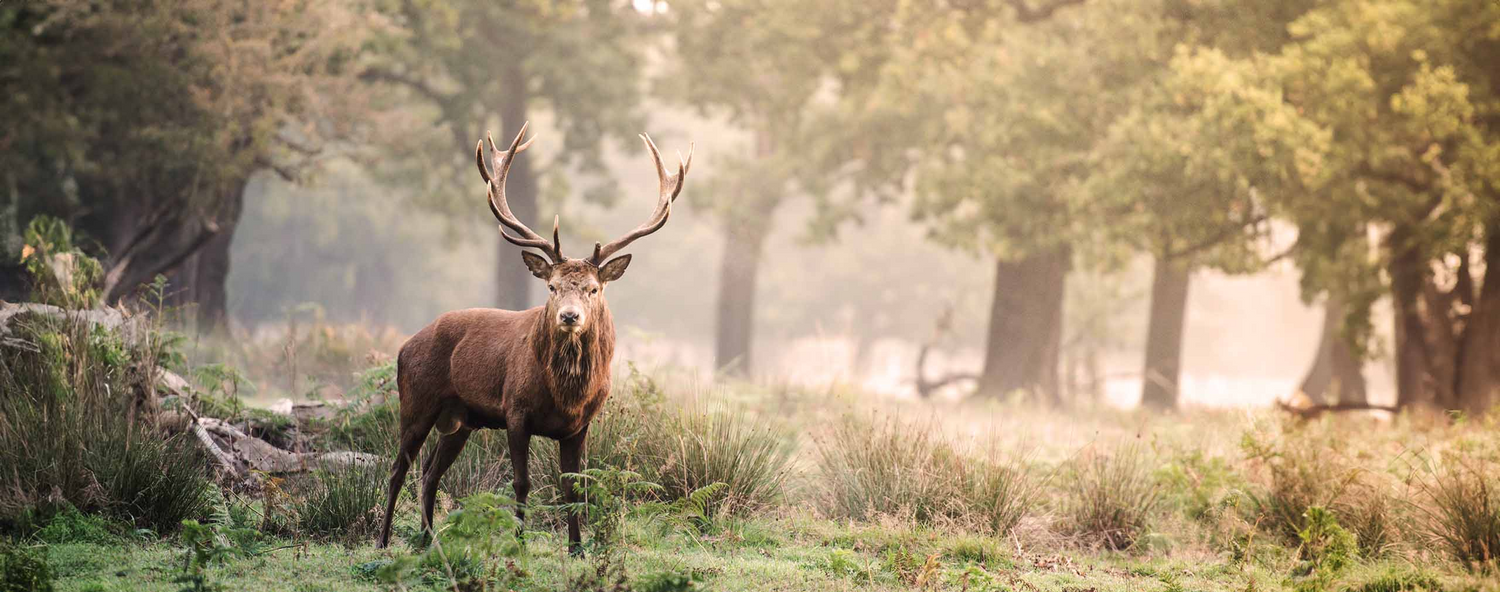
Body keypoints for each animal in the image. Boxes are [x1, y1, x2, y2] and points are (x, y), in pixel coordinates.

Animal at [376, 122, 691, 554]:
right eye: (552, 286)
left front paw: (577, 548)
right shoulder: (515, 409)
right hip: (416, 399)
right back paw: (383, 541)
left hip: (459, 420)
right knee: (398, 467)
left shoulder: (581, 425)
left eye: (593, 289)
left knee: (429, 472)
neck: (566, 394)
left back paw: (428, 541)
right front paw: (519, 542)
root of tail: (405, 346)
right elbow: (522, 482)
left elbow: (573, 488)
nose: (569, 316)